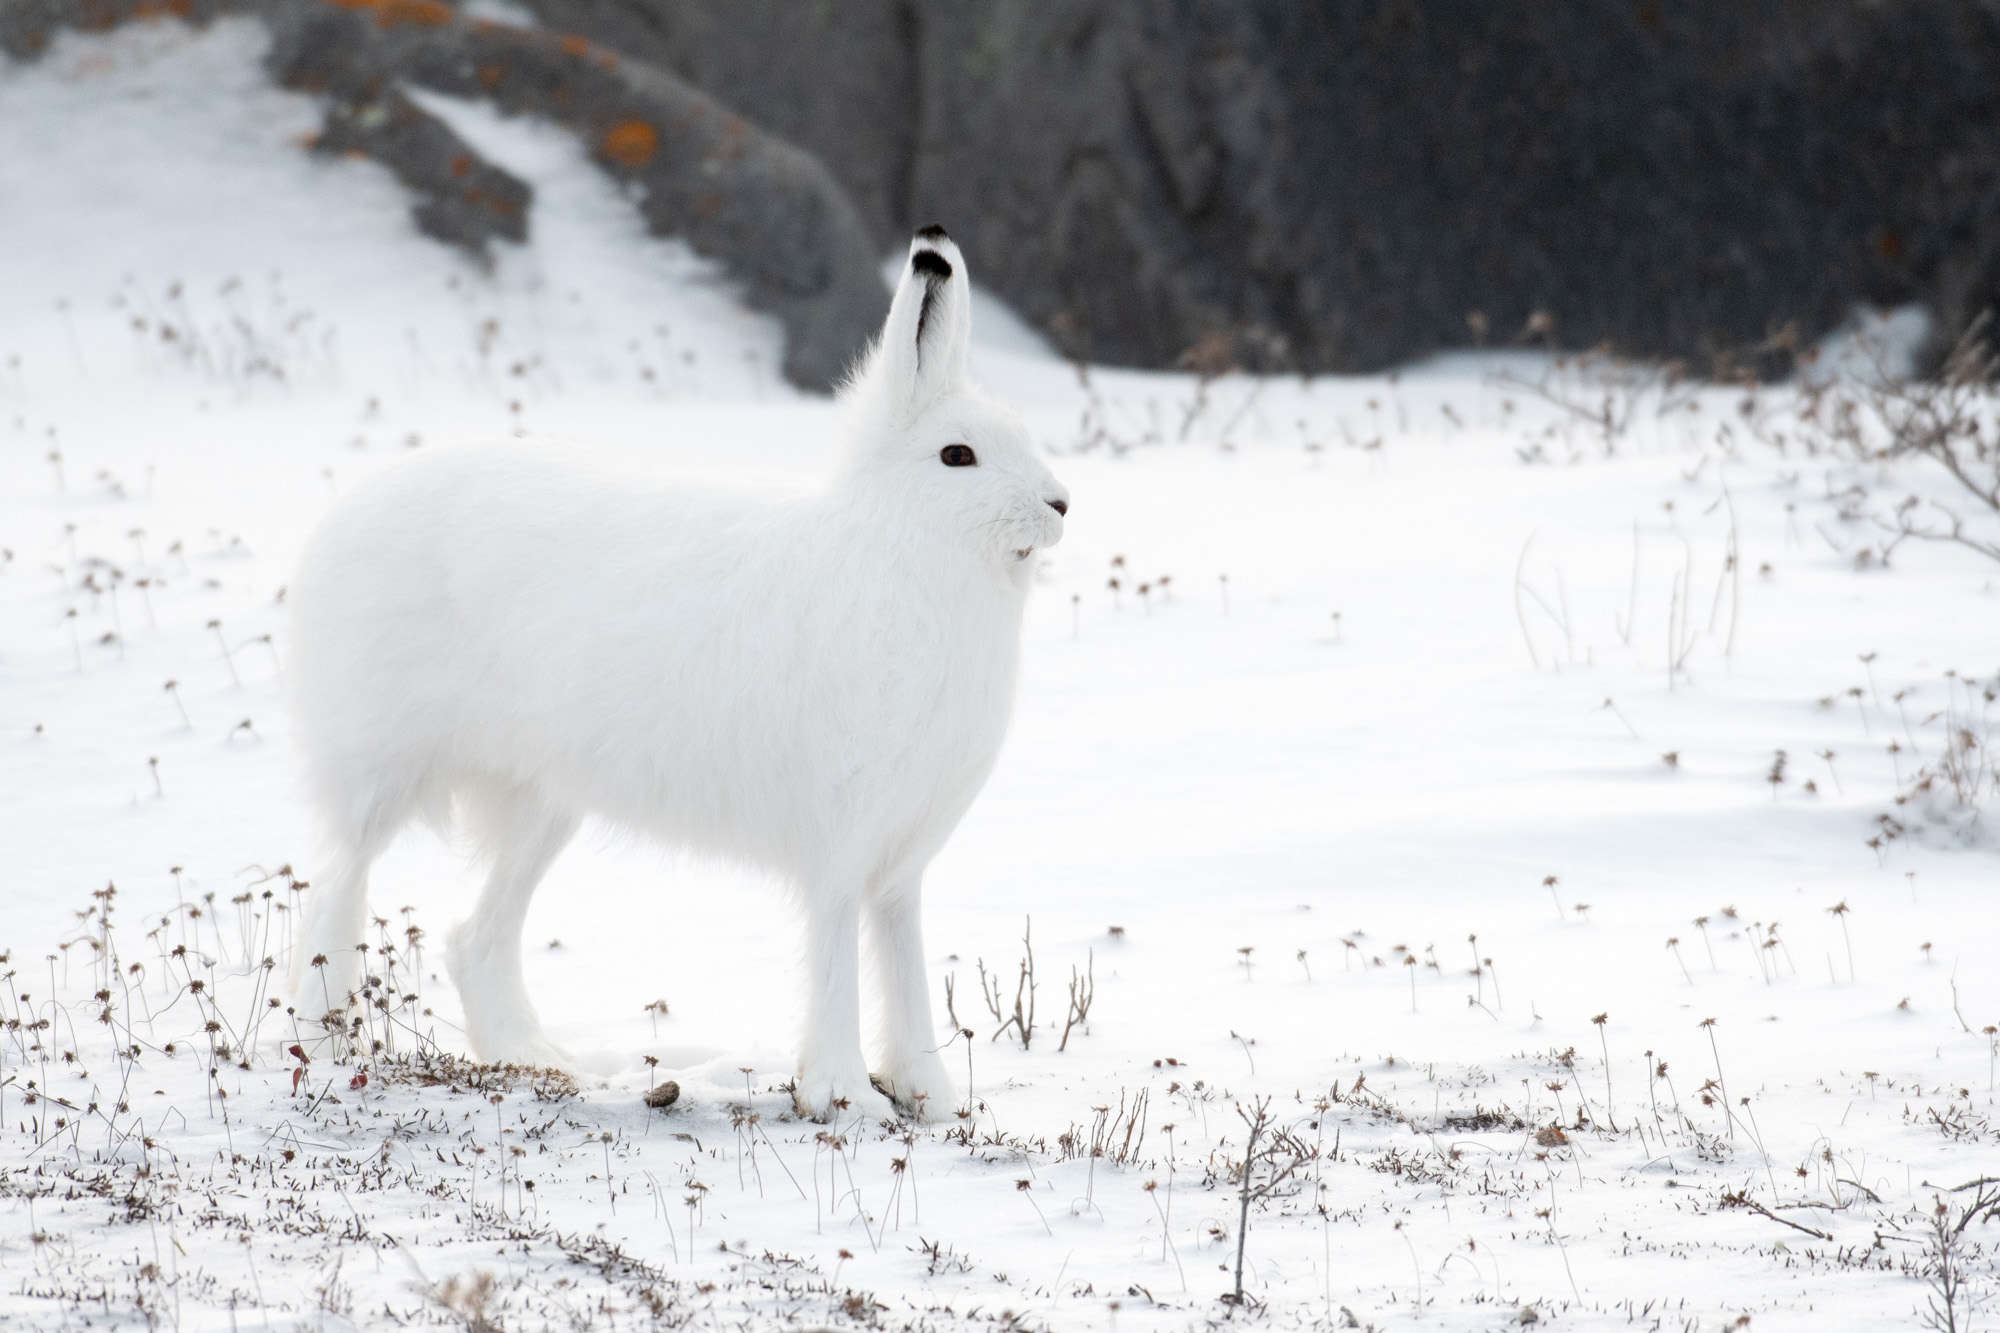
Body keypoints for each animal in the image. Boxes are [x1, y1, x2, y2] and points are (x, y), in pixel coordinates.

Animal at [285, 226, 1068, 1122]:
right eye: (957, 456)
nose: (1060, 505)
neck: (904, 549)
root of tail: (339, 523)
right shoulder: (841, 841)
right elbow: (836, 952)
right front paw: (845, 1096)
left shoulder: (901, 864)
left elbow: (902, 962)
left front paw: (931, 1096)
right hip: (384, 763)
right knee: (337, 885)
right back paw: (325, 1043)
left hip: (541, 800)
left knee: (474, 934)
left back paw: (538, 1060)